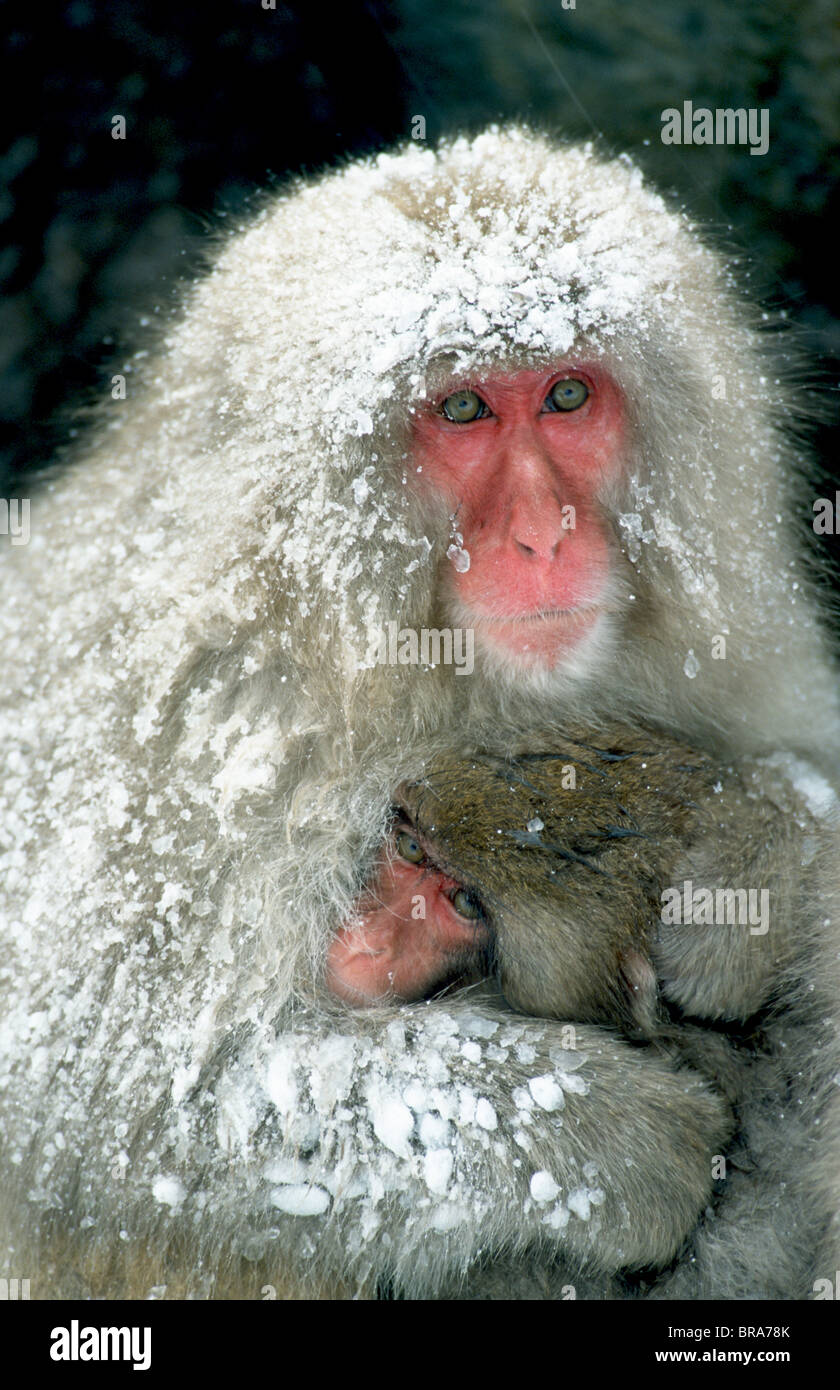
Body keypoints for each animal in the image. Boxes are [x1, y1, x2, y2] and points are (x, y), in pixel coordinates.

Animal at [1, 127, 839, 1300]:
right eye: (463, 409)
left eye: (568, 395)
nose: (544, 532)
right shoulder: (194, 743)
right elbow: (109, 1105)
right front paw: (612, 1143)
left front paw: (748, 848)